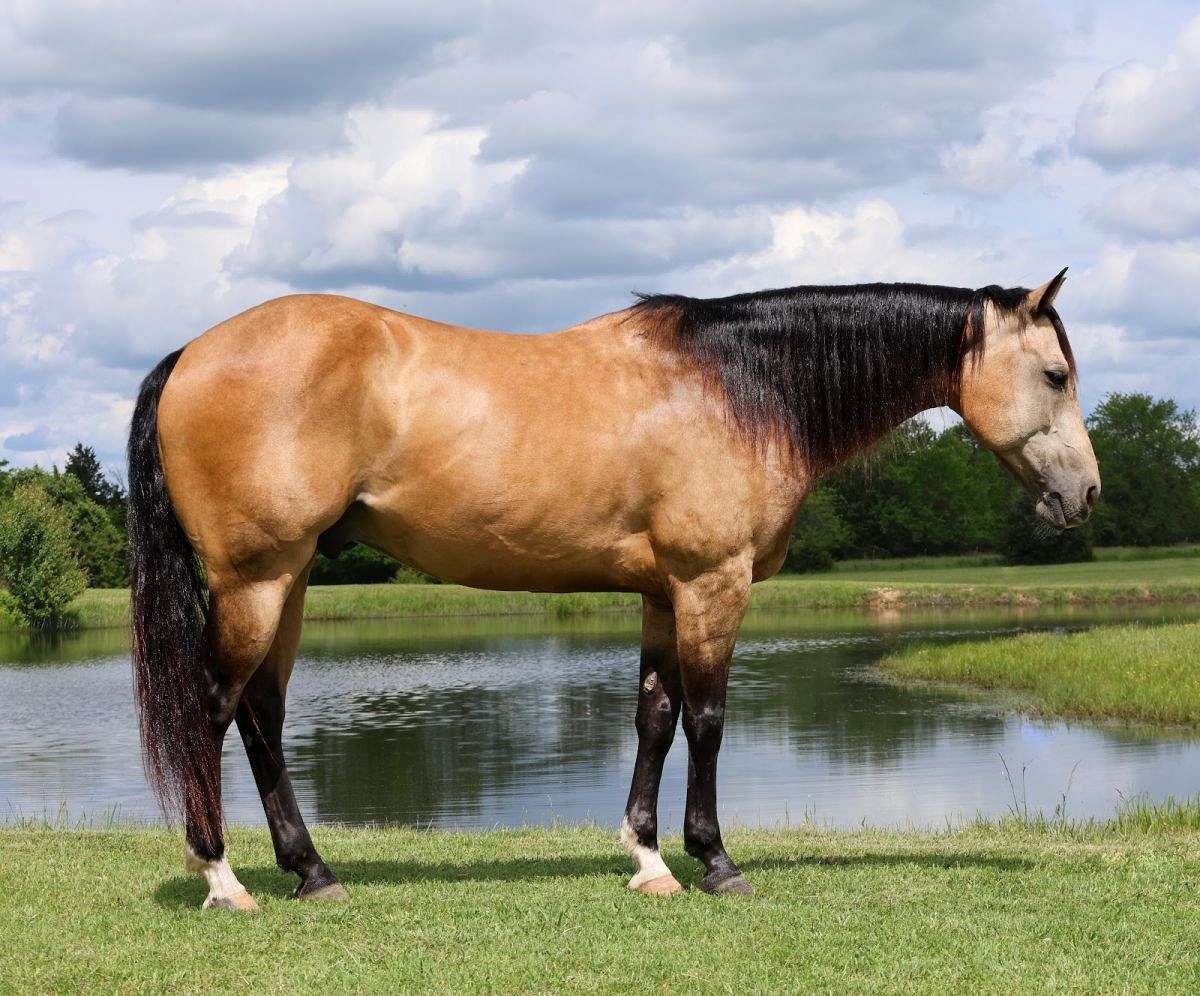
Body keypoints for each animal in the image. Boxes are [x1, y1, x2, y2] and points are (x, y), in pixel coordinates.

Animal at [126, 269, 1099, 909]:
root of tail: (191, 353)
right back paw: (222, 877)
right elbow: (706, 719)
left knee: (261, 714)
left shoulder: (664, 592)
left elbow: (655, 717)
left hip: (288, 580)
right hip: (256, 580)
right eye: (1055, 375)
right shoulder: (713, 583)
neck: (740, 387)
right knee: (212, 707)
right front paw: (716, 862)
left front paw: (649, 859)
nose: (1084, 495)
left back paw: (313, 872)